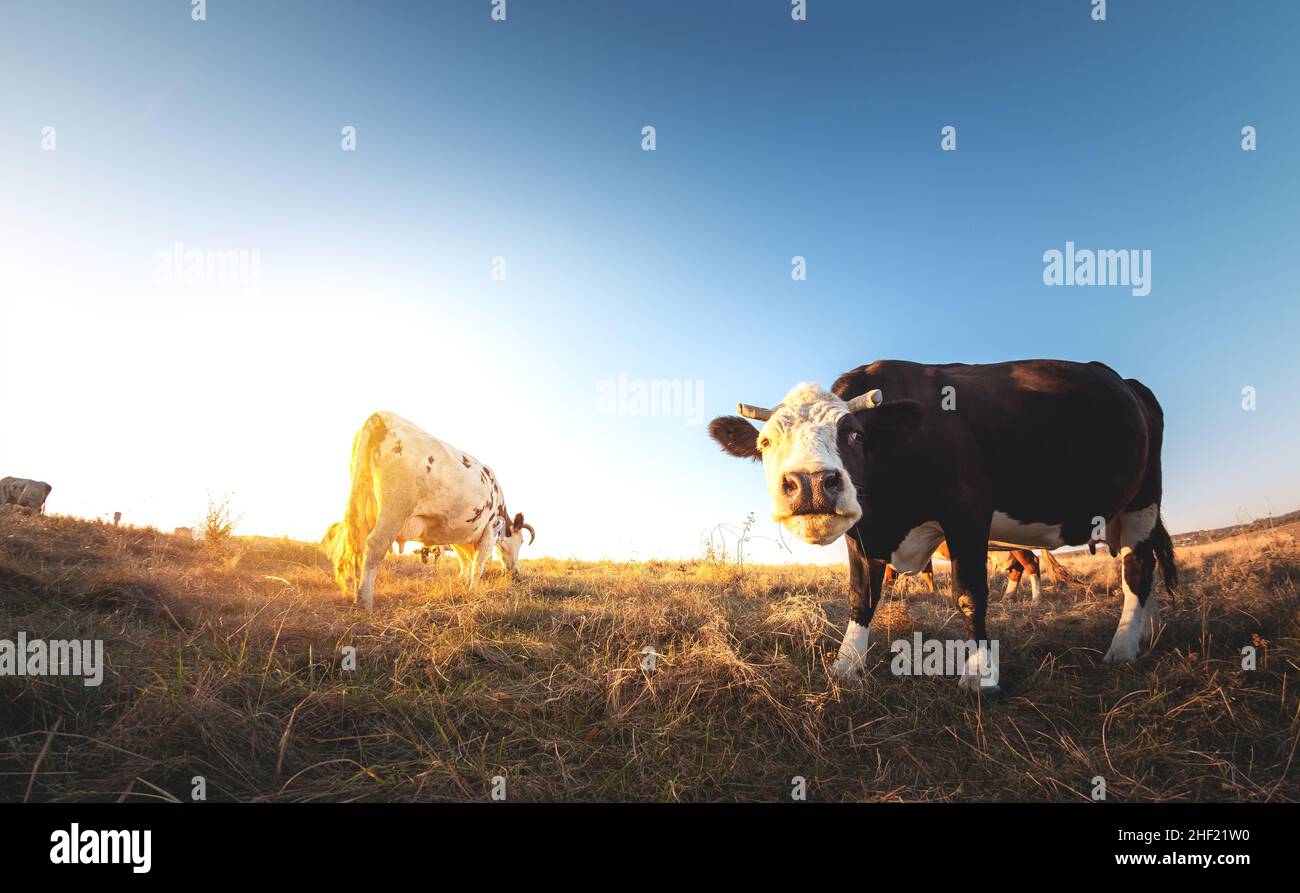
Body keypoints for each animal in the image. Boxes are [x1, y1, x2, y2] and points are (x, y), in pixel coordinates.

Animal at [324, 411, 534, 611]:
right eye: (521, 541)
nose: (516, 574)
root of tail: (382, 416)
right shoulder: (491, 528)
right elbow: (477, 565)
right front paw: (473, 591)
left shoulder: (459, 533)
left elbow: (465, 562)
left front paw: (463, 584)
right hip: (394, 509)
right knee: (375, 545)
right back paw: (364, 602)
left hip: (363, 508)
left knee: (358, 547)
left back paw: (356, 593)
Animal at [709, 359, 1177, 691]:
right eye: (766, 442)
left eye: (856, 435)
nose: (809, 483)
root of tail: (1128, 383)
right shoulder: (863, 532)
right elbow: (862, 596)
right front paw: (846, 664)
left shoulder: (967, 514)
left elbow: (969, 595)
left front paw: (980, 674)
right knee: (1141, 569)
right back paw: (1145, 633)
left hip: (1143, 500)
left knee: (1137, 569)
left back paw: (1121, 646)